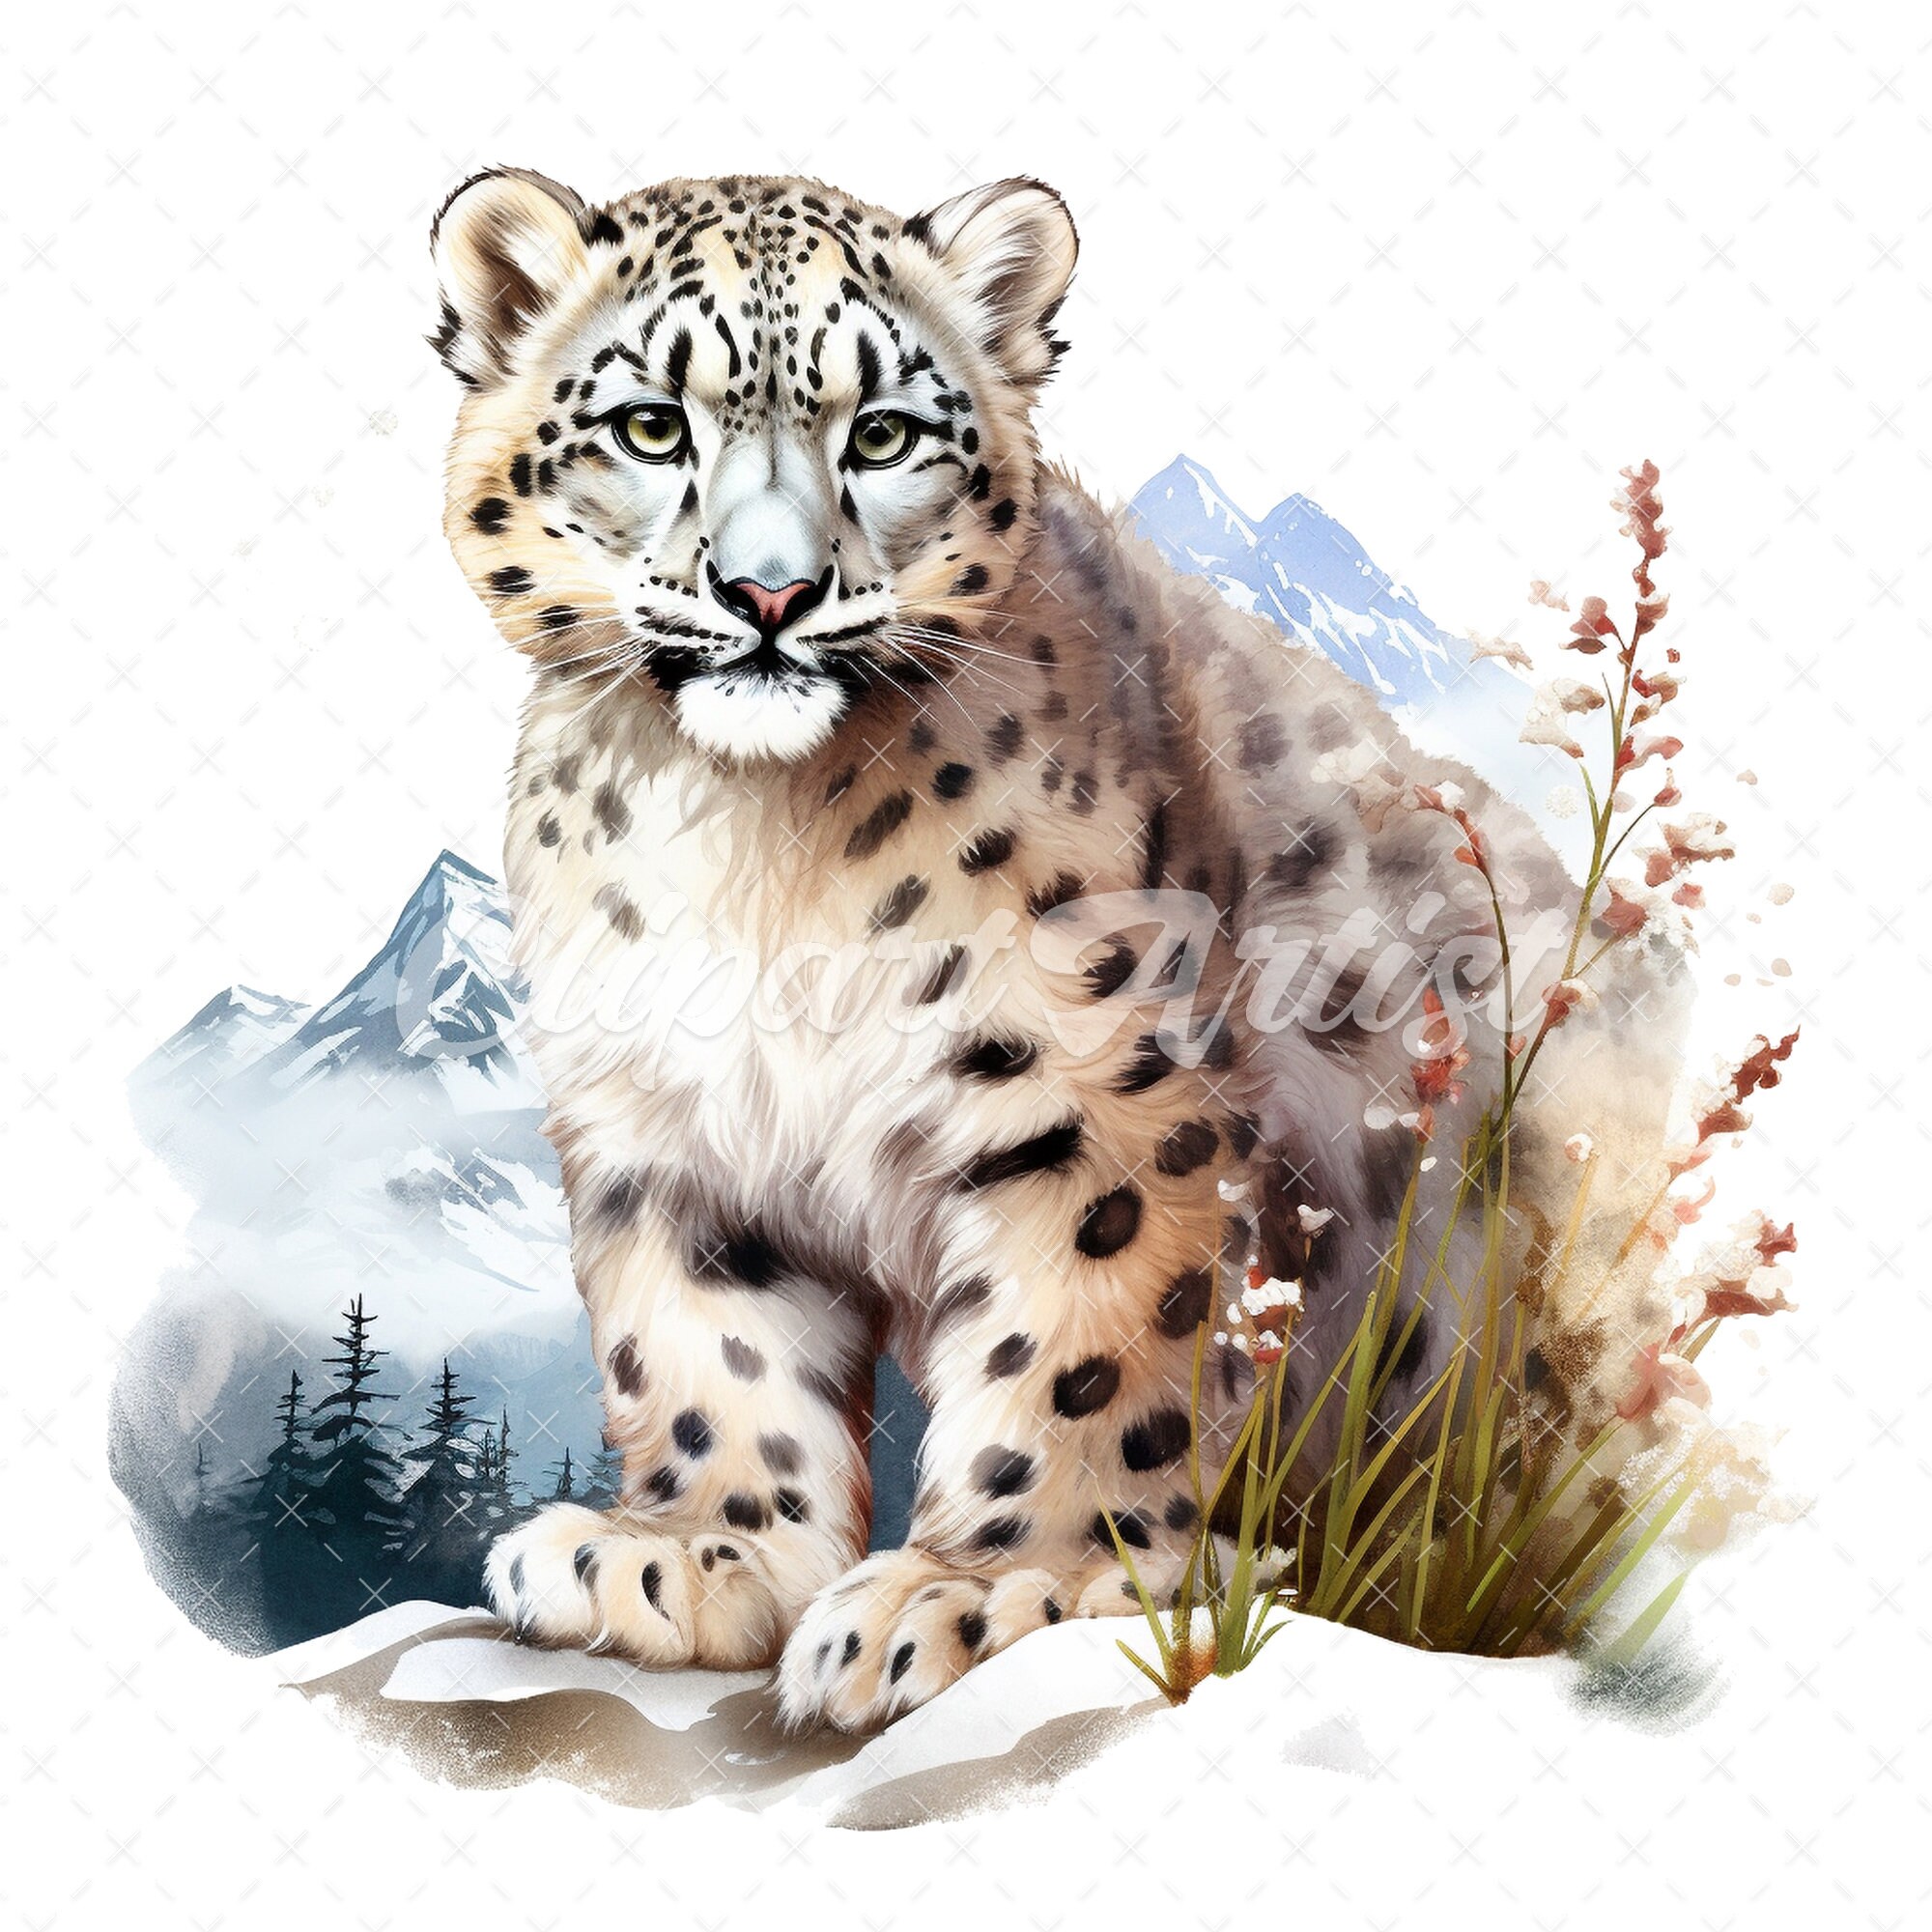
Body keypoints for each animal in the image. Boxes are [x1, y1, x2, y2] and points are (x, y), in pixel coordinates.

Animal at [430, 167, 1684, 1732]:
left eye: (884, 431)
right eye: (652, 425)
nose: (770, 594)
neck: (744, 837)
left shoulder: (1094, 1092)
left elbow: (1078, 1353)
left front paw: (980, 1590)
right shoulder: (662, 1117)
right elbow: (705, 1344)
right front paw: (696, 1551)